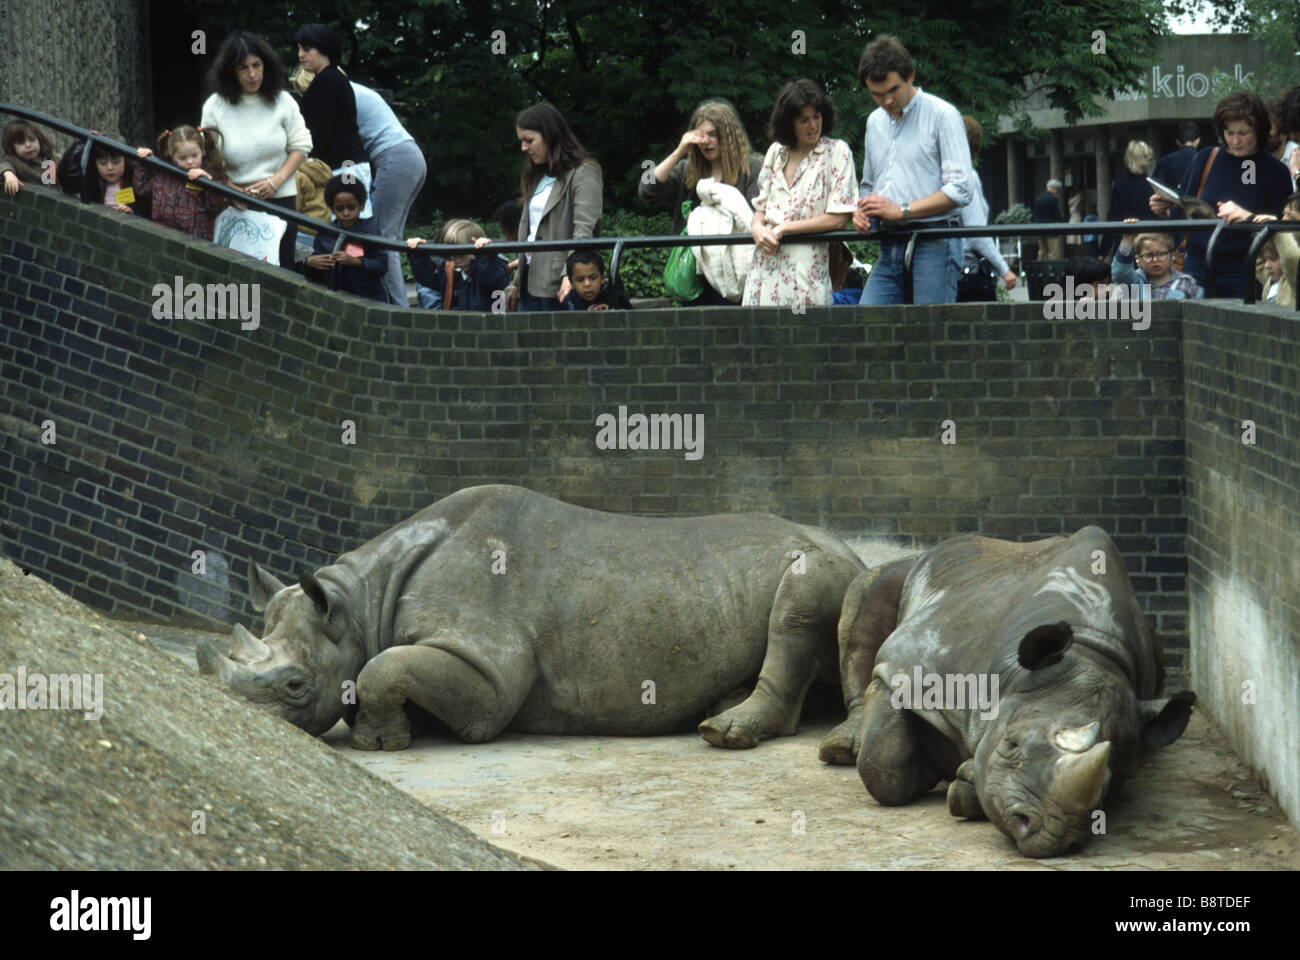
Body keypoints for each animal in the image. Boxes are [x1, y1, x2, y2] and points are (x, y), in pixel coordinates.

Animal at [198, 484, 864, 751]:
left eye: (295, 686)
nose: (235, 720)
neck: (359, 603)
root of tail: (857, 550)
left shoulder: (489, 669)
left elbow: (379, 669)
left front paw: (379, 741)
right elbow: (384, 667)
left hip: (827, 562)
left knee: (797, 610)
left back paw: (724, 732)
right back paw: (719, 707)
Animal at [817, 526, 1195, 858]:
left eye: (1114, 776)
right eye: (1011, 745)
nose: (1055, 838)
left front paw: (964, 779)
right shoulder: (906, 664)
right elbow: (883, 765)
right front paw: (930, 769)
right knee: (868, 587)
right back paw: (840, 747)